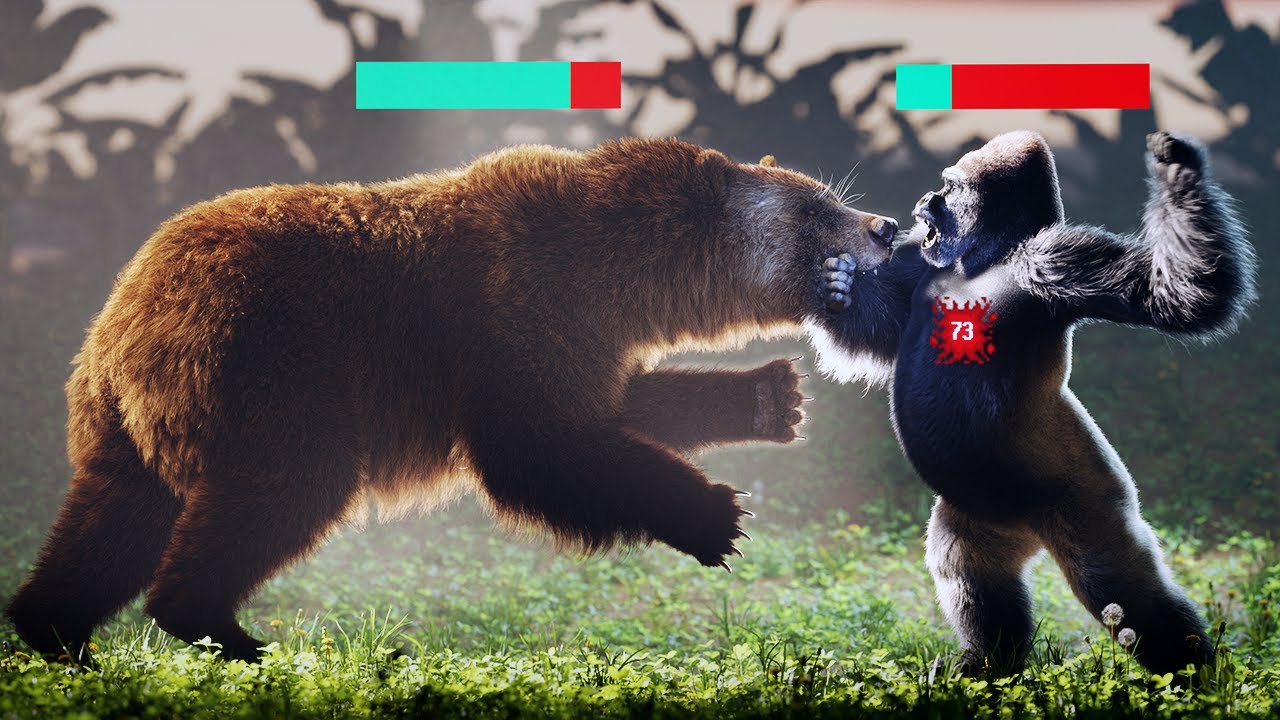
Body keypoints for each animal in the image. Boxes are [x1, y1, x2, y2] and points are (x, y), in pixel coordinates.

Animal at [7, 137, 899, 663]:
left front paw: (773, 397)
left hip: (132, 420)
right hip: (275, 370)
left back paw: (56, 630)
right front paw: (717, 515)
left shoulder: (581, 334)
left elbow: (607, 409)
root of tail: (127, 310)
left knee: (113, 519)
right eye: (816, 205)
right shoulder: (510, 309)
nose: (887, 225)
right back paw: (226, 629)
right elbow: (535, 448)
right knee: (279, 494)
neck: (623, 272)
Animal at [812, 131, 1257, 675]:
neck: (989, 258)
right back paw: (988, 662)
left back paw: (1193, 676)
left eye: (949, 188)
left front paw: (1179, 173)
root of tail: (1032, 534)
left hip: (1088, 492)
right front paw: (838, 284)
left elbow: (1174, 295)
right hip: (979, 513)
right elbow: (877, 326)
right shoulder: (919, 263)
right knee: (971, 571)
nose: (925, 201)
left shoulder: (1060, 259)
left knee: (1119, 585)